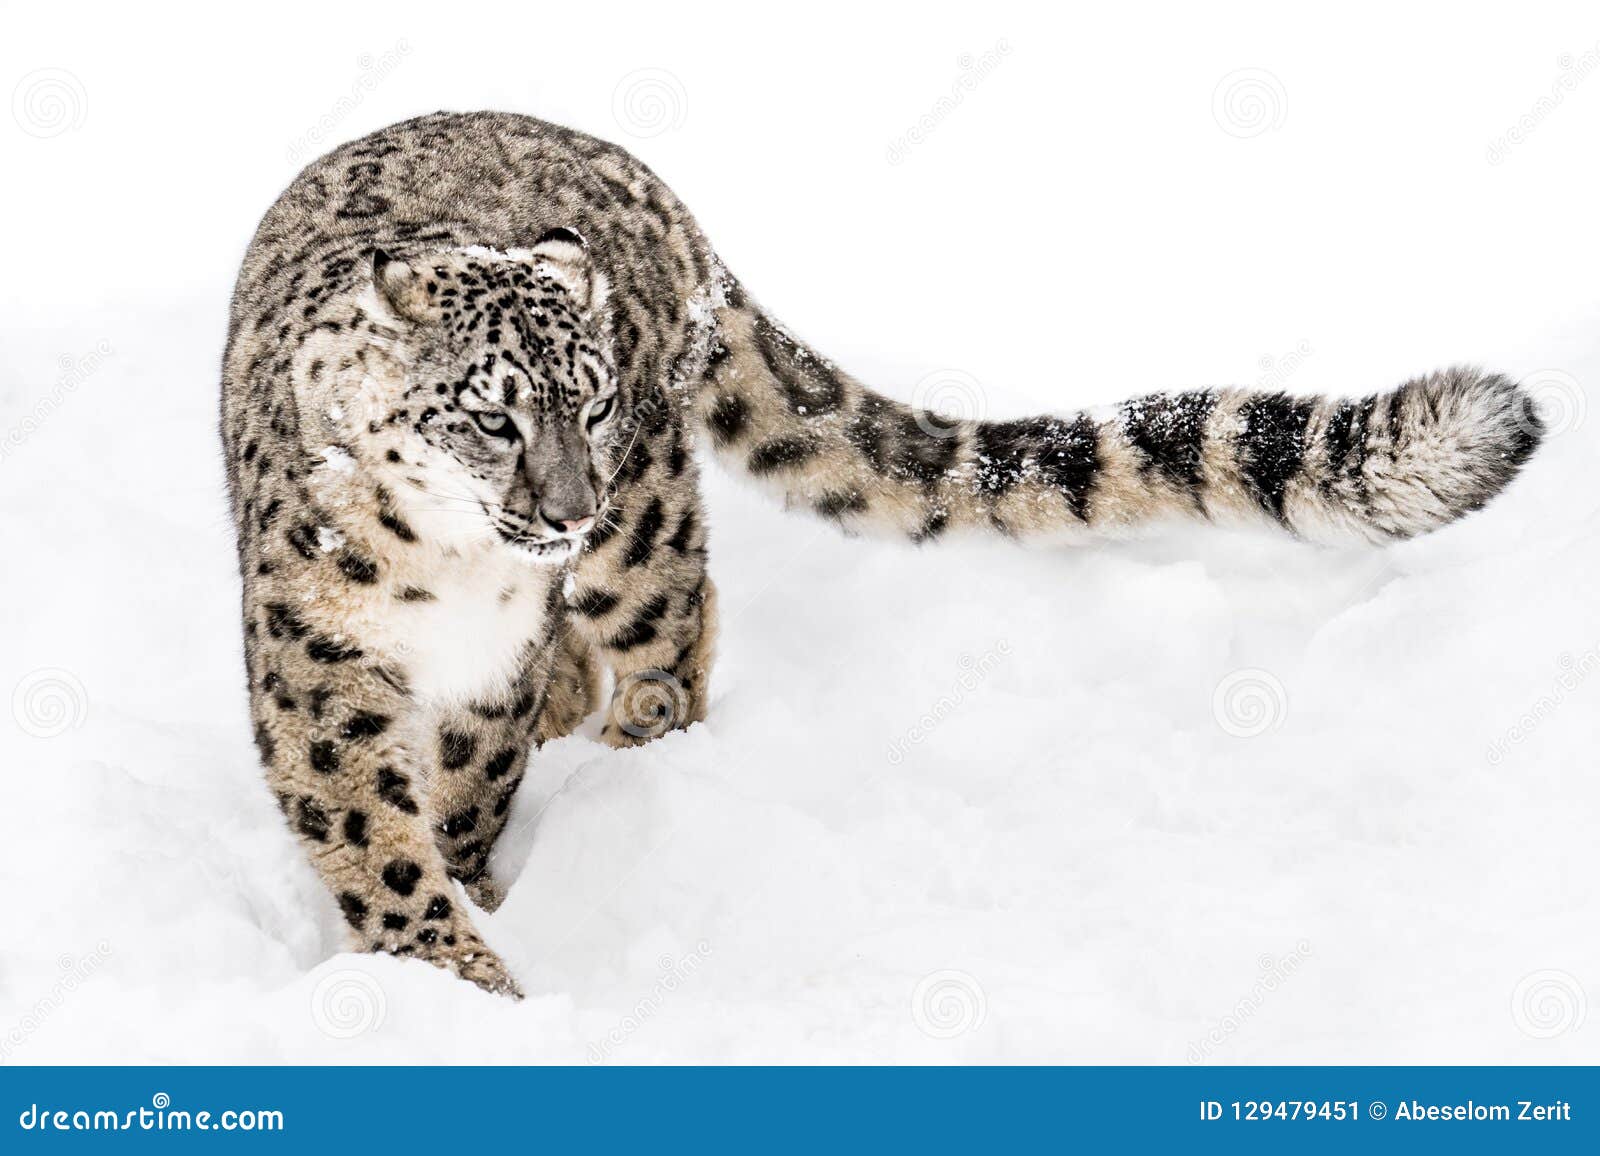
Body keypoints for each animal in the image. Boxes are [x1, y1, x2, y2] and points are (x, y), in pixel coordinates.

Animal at [221, 110, 1543, 997]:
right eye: (493, 417)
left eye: (589, 403)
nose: (566, 504)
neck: (452, 573)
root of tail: (616, 160)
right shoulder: (319, 654)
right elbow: (365, 818)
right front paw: (446, 968)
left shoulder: (495, 653)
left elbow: (457, 792)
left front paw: (465, 931)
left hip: (645, 533)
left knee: (671, 626)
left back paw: (636, 755)